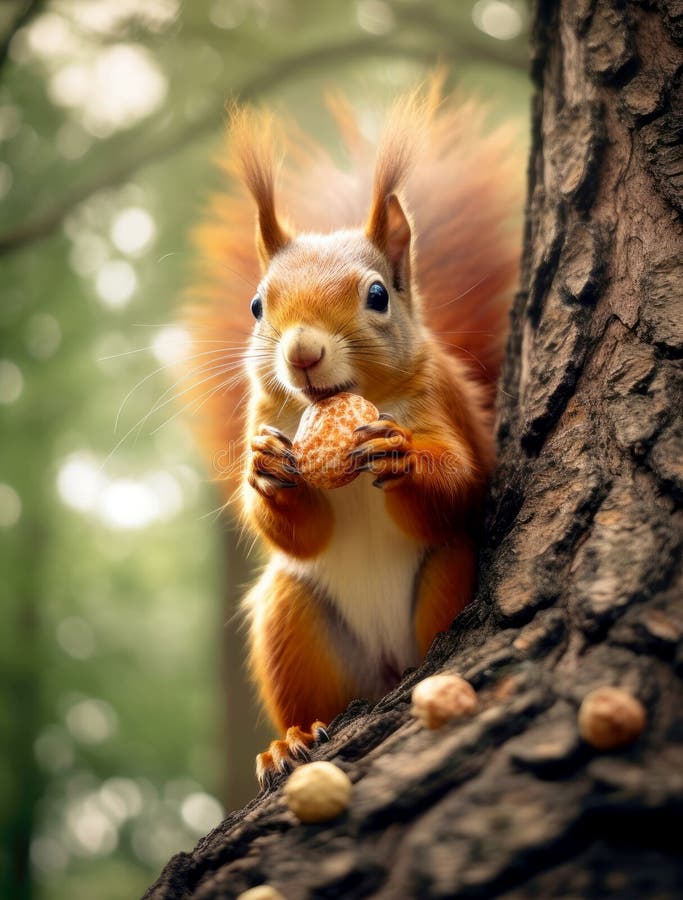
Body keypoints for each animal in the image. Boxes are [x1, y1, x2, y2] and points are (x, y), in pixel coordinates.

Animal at [185, 77, 521, 787]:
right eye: (256, 305)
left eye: (377, 296)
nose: (302, 353)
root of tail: (389, 666)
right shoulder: (266, 418)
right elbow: (298, 531)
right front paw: (265, 471)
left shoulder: (442, 405)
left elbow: (462, 483)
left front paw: (401, 457)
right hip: (296, 621)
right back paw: (289, 742)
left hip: (446, 577)